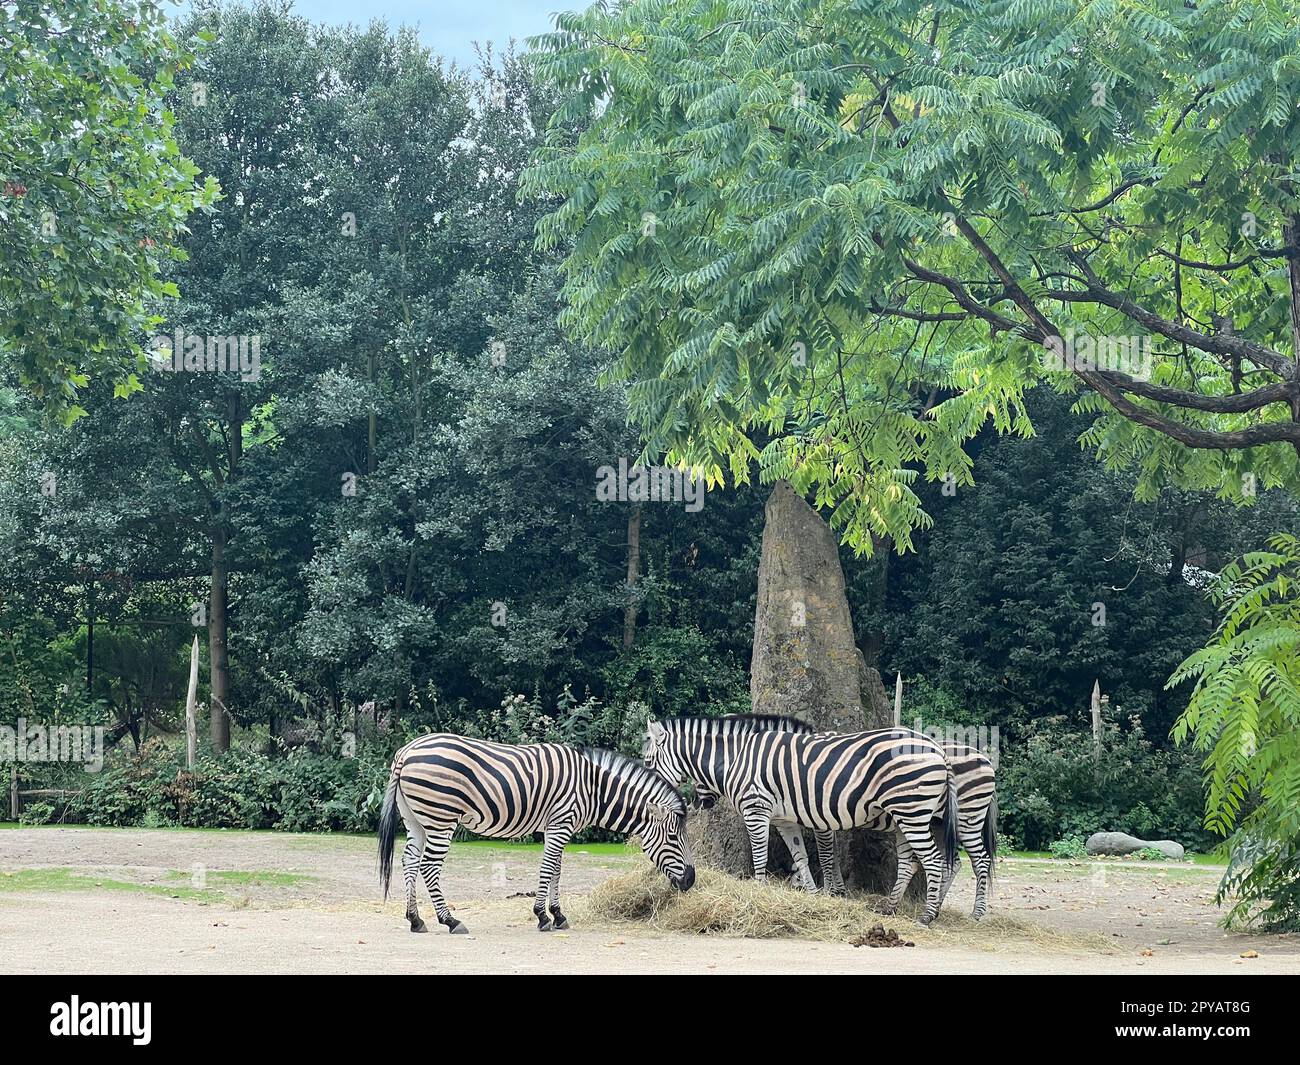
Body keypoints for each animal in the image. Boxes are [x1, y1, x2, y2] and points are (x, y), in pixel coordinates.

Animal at [378, 734, 695, 935]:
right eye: (673, 838)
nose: (691, 881)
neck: (593, 789)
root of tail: (407, 751)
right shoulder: (561, 823)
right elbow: (547, 868)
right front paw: (543, 916)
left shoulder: (557, 826)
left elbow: (556, 870)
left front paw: (558, 915)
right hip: (440, 817)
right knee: (429, 867)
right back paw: (450, 921)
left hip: (416, 819)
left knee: (409, 861)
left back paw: (415, 920)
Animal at [643, 714, 959, 925]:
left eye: (647, 762)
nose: (700, 803)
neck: (738, 759)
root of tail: (937, 749)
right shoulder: (784, 819)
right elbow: (801, 856)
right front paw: (812, 896)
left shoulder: (757, 809)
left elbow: (761, 856)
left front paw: (759, 893)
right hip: (908, 815)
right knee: (912, 862)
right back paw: (890, 909)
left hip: (913, 813)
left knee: (933, 861)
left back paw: (928, 916)